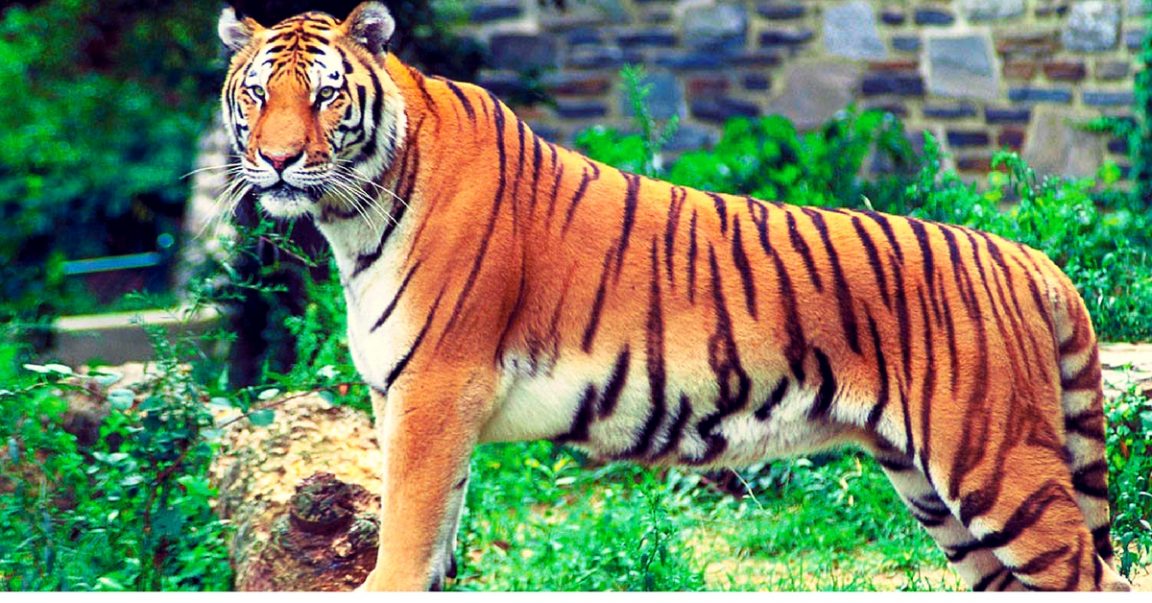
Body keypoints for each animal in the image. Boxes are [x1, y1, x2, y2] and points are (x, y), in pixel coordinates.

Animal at [216, 2, 1132, 592]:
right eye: (258, 94)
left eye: (326, 93)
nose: (279, 160)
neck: (352, 215)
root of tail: (1027, 256)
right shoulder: (414, 405)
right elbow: (436, 536)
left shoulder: (437, 391)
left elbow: (404, 543)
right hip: (932, 485)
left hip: (997, 463)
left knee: (1097, 577)